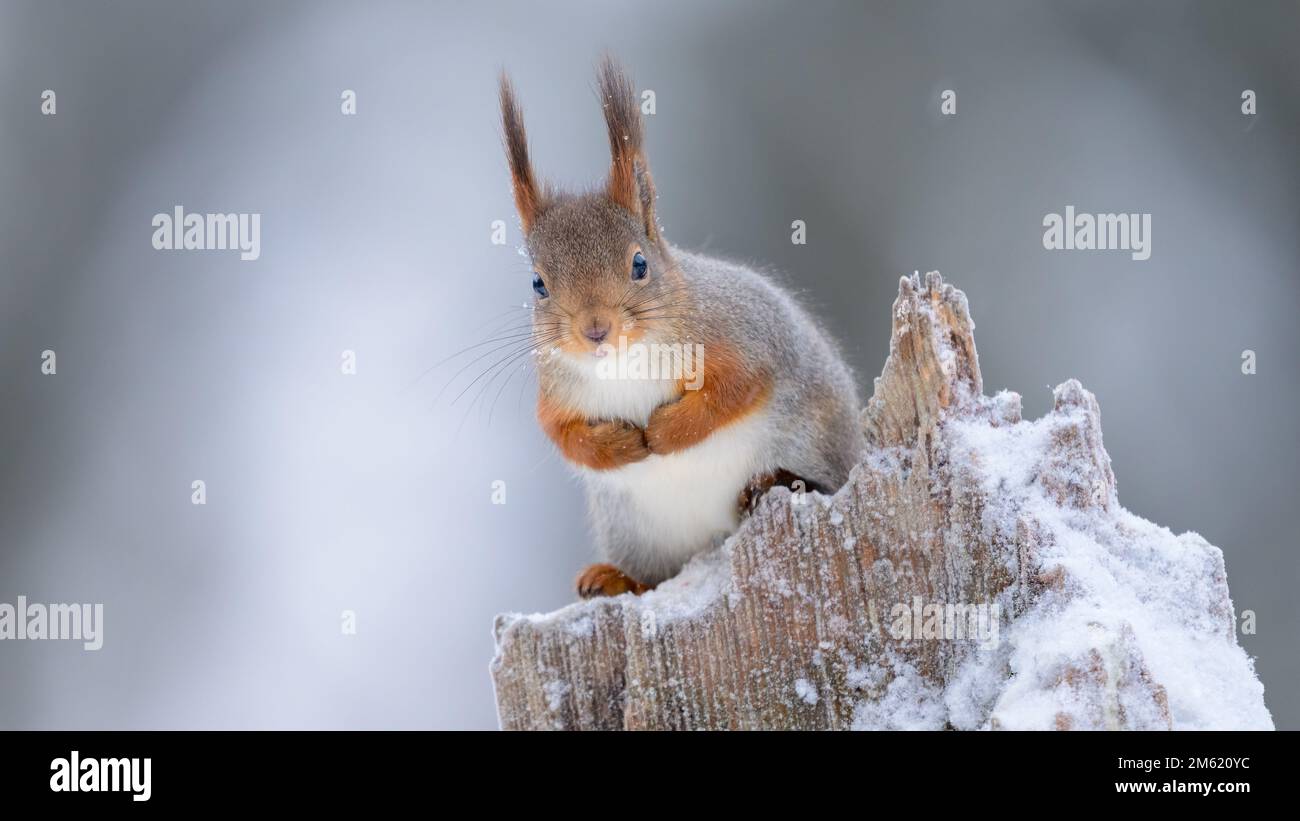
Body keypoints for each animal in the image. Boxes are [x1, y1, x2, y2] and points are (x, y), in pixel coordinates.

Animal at [499, 58, 861, 598]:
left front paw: (664, 433)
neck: (622, 362)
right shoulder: (557, 391)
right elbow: (562, 434)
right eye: (538, 283)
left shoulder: (742, 337)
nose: (595, 329)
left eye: (640, 264)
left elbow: (735, 390)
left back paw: (772, 482)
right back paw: (613, 578)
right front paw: (620, 446)